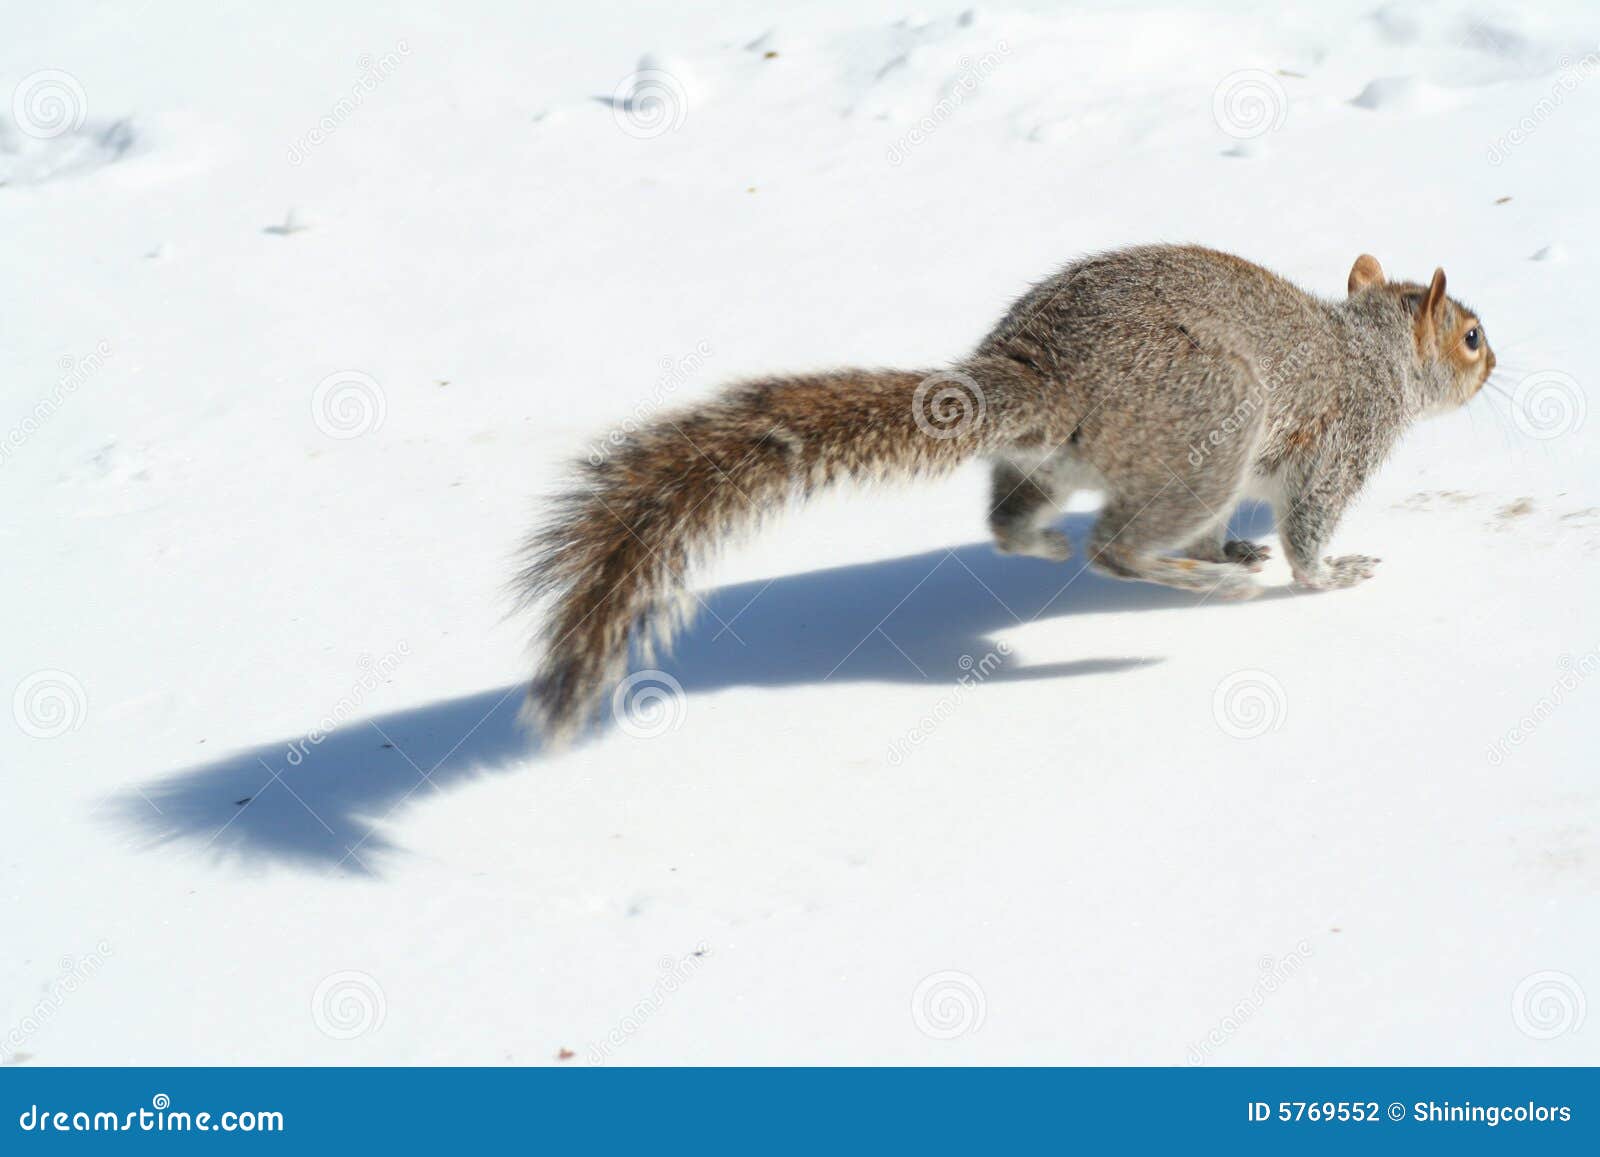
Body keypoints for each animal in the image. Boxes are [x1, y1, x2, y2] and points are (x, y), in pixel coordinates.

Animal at [516, 245, 1496, 742]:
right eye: (1472, 336)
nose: (1495, 368)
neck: (1372, 353)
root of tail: (1048, 374)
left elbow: (1231, 525)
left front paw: (1233, 547)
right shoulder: (1340, 442)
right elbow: (1309, 532)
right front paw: (1323, 574)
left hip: (1073, 462)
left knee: (1008, 523)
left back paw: (1057, 545)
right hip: (1210, 423)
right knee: (1118, 546)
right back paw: (1192, 582)